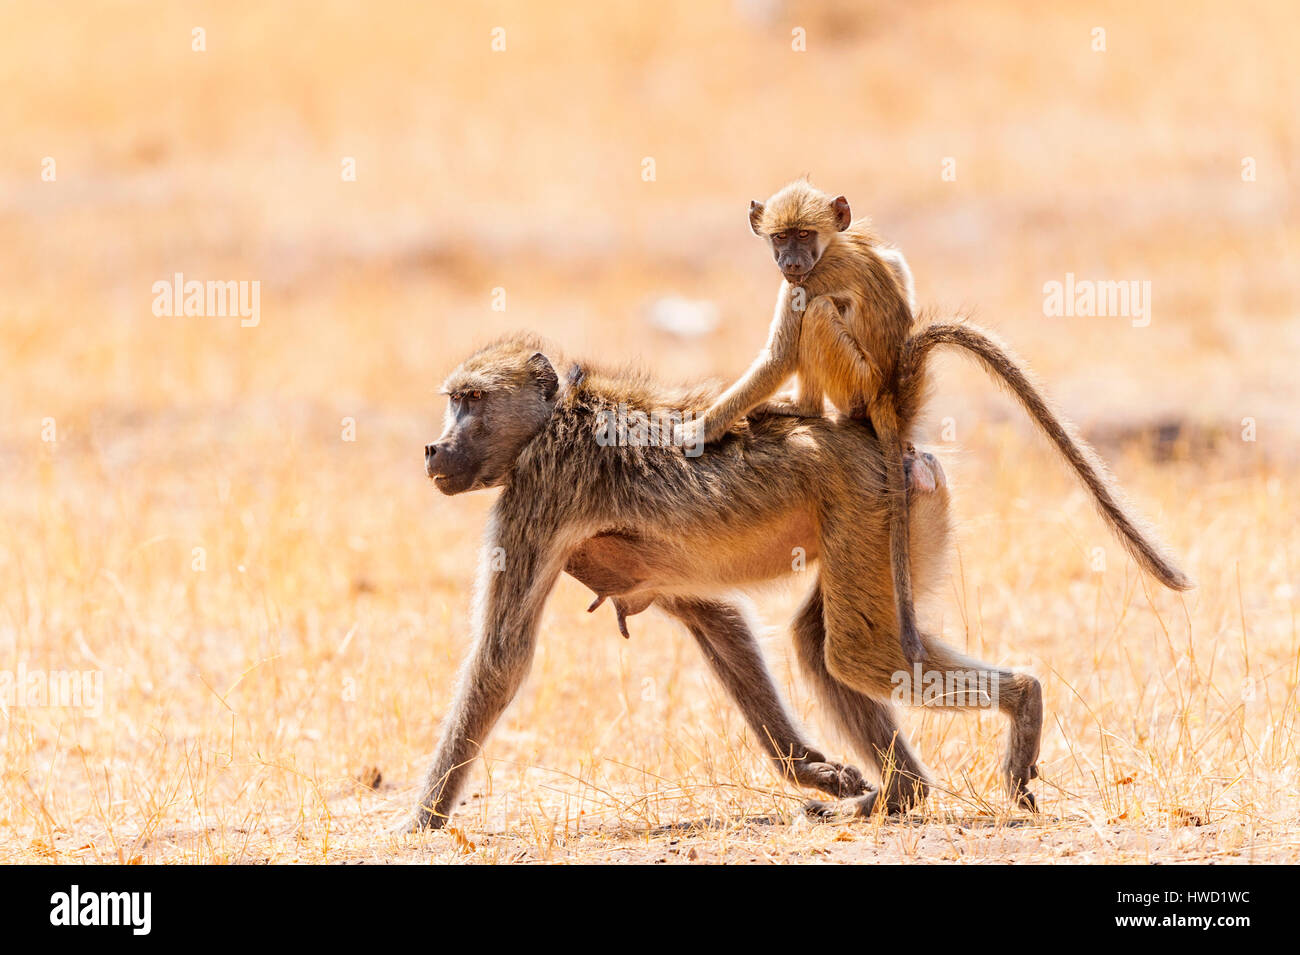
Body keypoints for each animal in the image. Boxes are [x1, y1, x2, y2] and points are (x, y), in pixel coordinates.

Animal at [400, 333, 1045, 833]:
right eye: (454, 401)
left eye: (472, 400)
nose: (433, 448)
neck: (555, 418)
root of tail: (879, 436)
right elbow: (720, 624)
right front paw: (811, 770)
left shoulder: (538, 489)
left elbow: (501, 657)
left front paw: (419, 822)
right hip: (902, 521)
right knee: (821, 646)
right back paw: (896, 795)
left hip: (877, 509)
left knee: (854, 652)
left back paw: (1021, 698)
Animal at [678, 179, 1191, 665]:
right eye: (780, 236)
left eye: (803, 236)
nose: (789, 260)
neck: (831, 247)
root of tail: (888, 397)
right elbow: (896, 263)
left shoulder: (807, 282)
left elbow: (779, 355)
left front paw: (695, 432)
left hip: (853, 382)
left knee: (820, 316)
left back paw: (803, 408)